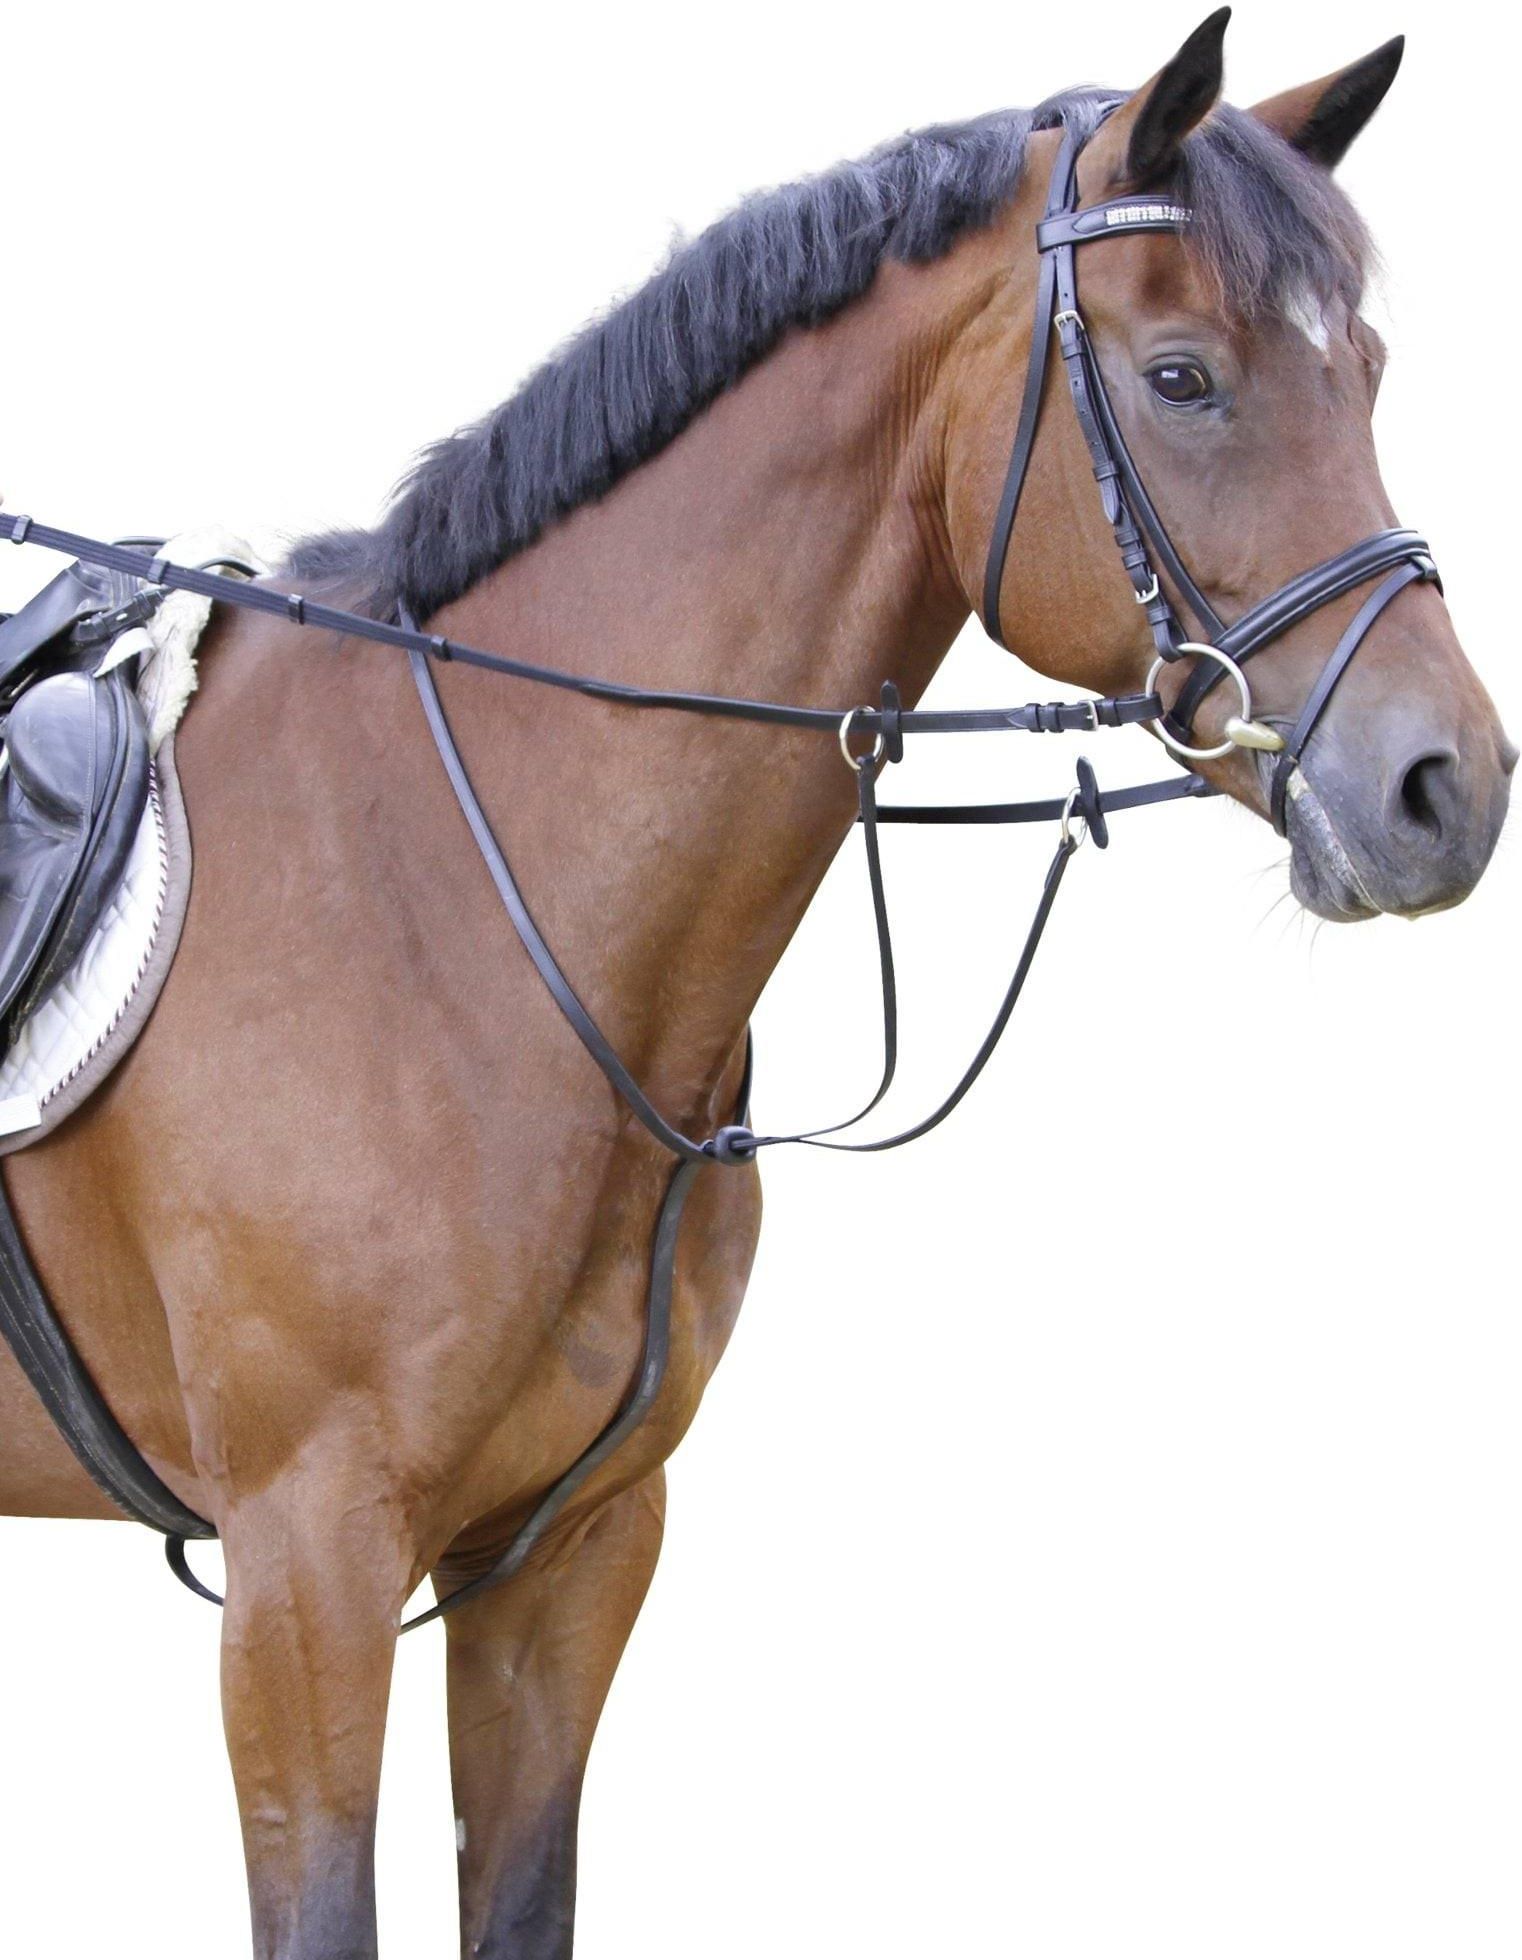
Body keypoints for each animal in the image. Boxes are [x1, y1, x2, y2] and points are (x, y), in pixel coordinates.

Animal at [0, 14, 1512, 1957]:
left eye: (1370, 370)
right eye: (1183, 379)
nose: (1445, 788)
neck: (445, 893)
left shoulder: (567, 1553)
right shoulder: (303, 1569)